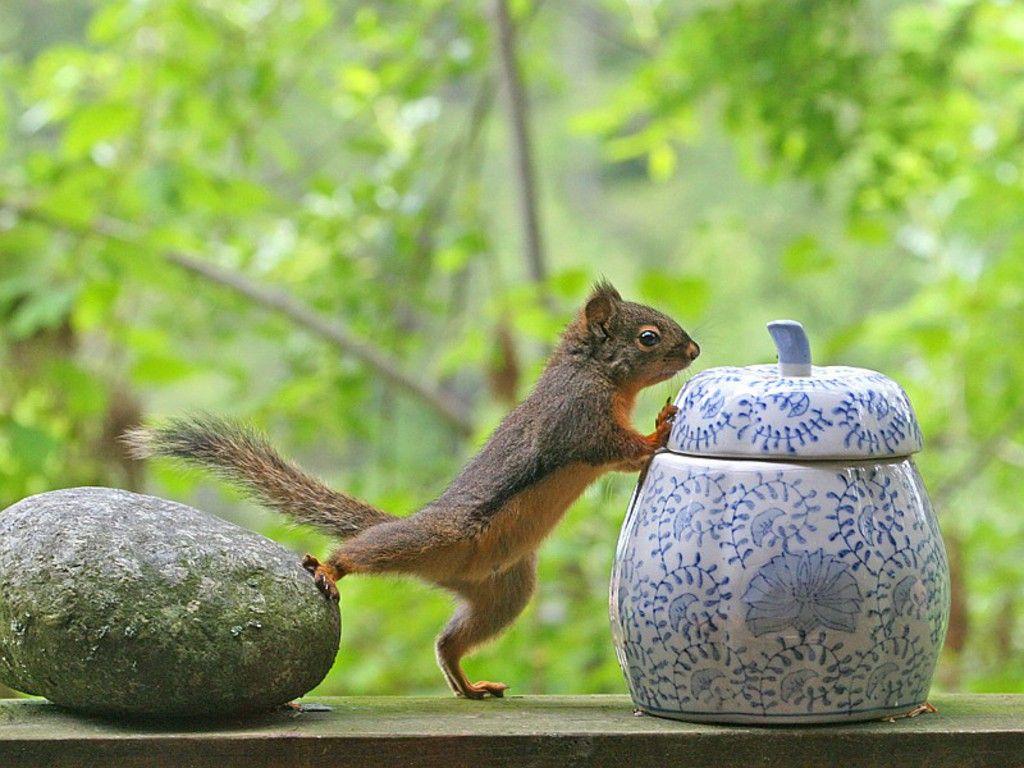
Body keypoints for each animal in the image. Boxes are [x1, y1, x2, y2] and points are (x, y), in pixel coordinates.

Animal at [125, 282, 699, 699]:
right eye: (649, 337)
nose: (694, 349)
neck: (595, 372)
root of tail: (448, 567)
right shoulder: (578, 418)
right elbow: (616, 447)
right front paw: (659, 428)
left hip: (504, 592)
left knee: (448, 641)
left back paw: (467, 683)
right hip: (433, 537)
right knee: (364, 551)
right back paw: (330, 568)